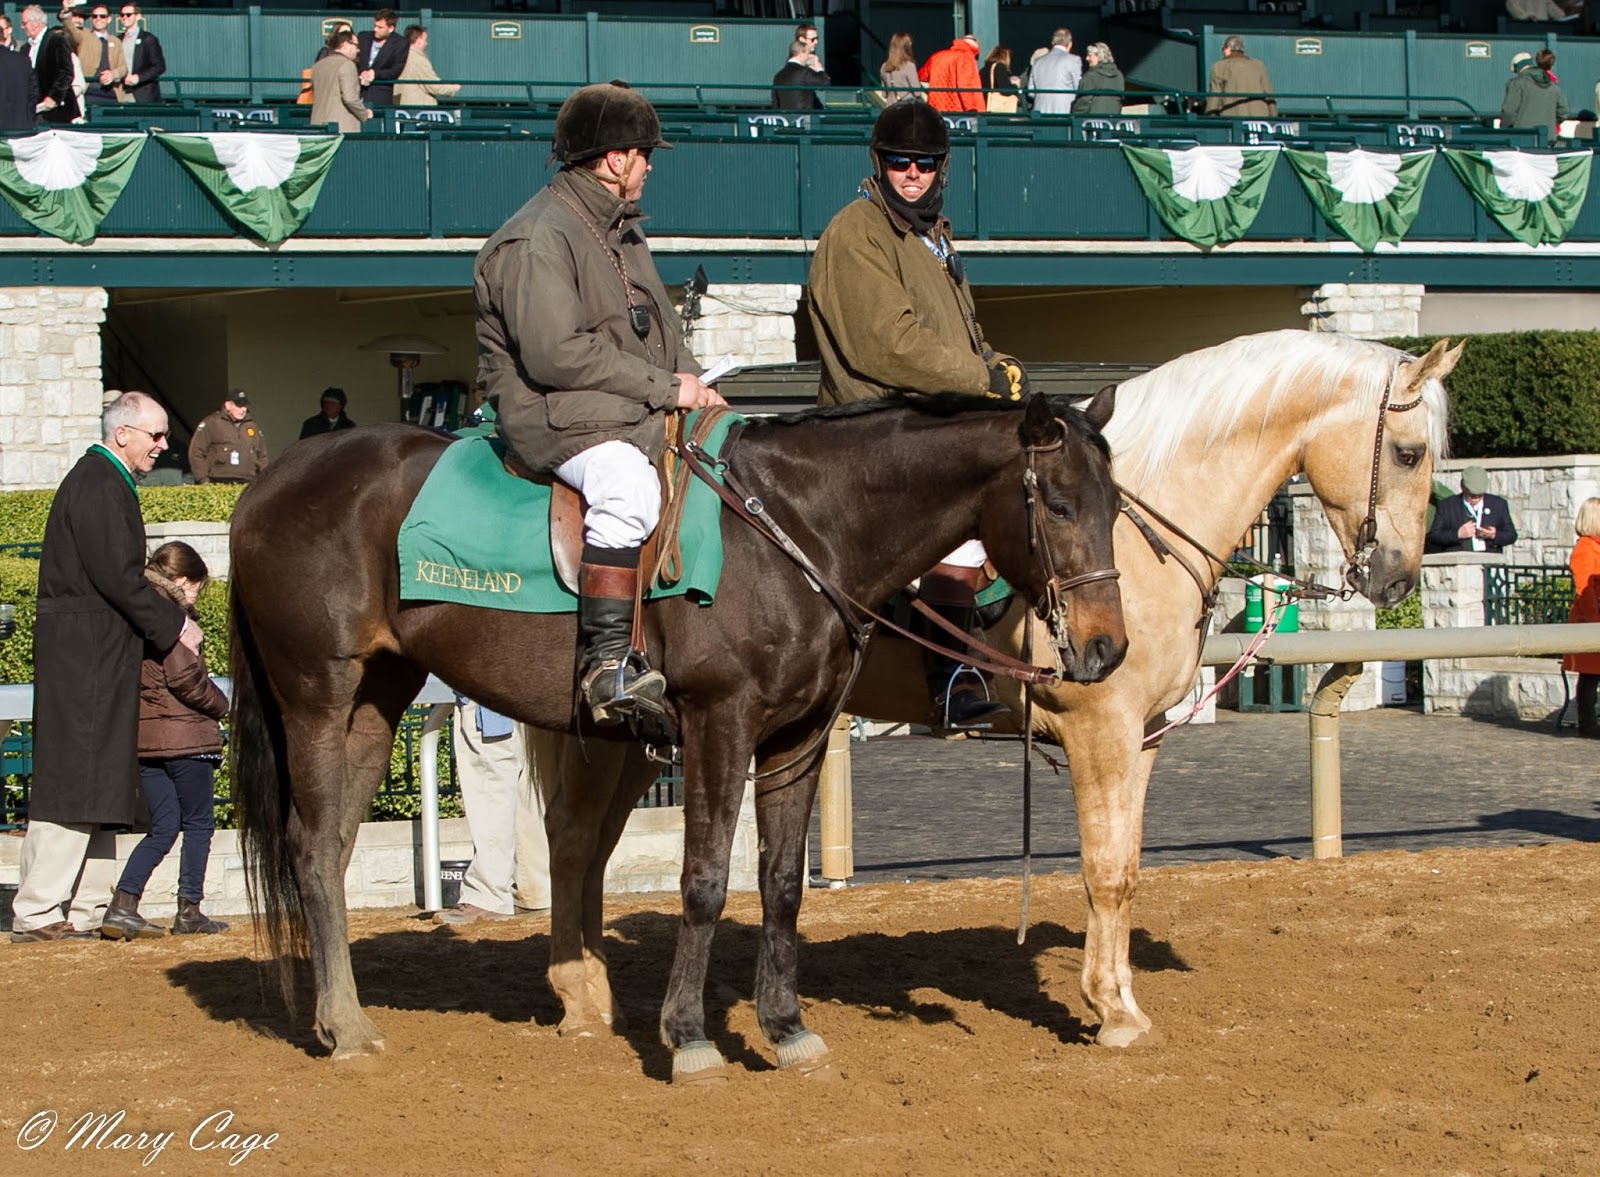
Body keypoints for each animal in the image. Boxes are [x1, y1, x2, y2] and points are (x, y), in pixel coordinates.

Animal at [229, 390, 1129, 1081]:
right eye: (1056, 504)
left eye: (1115, 506)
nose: (1106, 648)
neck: (799, 526)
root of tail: (268, 482)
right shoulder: (720, 723)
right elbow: (703, 880)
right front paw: (690, 1037)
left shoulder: (798, 734)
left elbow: (781, 883)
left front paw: (785, 1026)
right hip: (318, 695)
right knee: (312, 845)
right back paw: (350, 1029)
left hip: (377, 700)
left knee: (342, 845)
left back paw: (350, 1013)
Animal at [527, 330, 1461, 1051]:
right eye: (1410, 452)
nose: (1394, 576)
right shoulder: (1100, 731)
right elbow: (1104, 871)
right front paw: (1110, 1010)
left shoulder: (1144, 738)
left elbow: (1127, 867)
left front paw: (1122, 998)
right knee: (577, 841)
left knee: (581, 843)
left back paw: (585, 995)